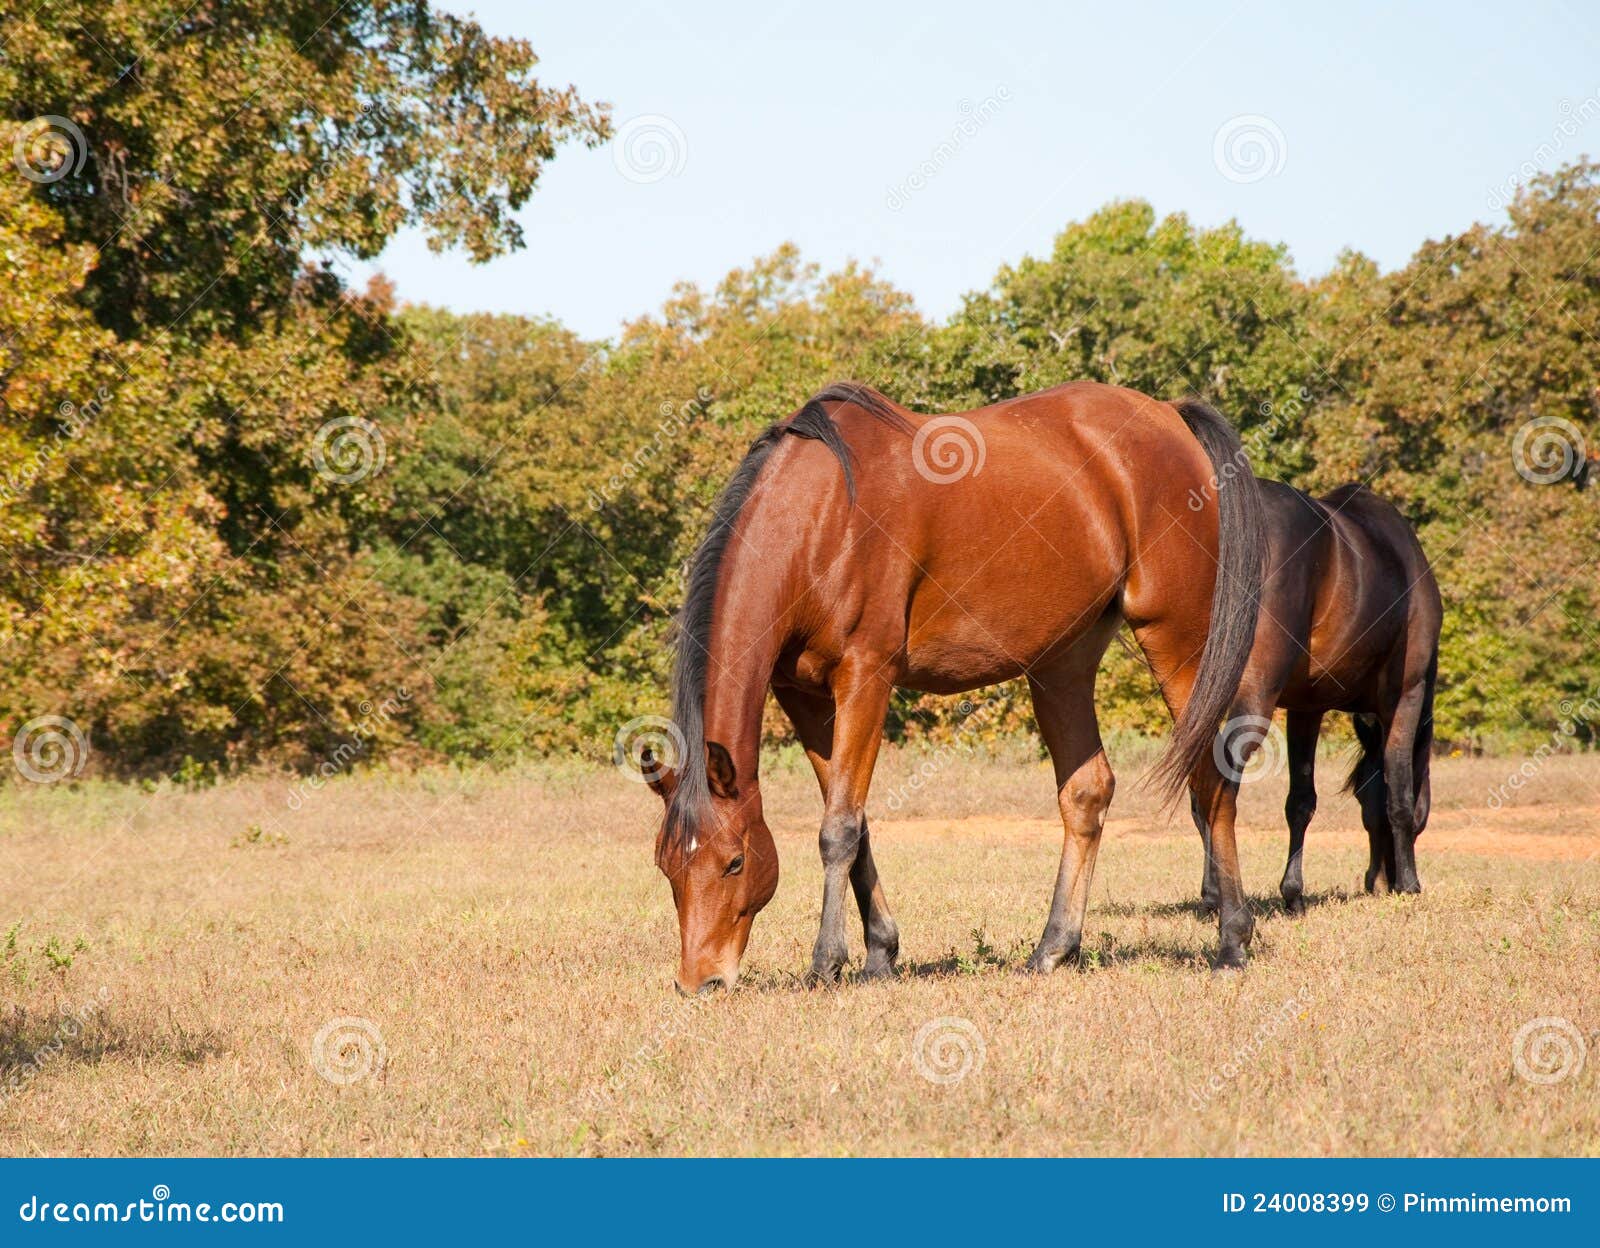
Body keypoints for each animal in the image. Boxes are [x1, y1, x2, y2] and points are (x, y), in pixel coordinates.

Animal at [641, 379, 1266, 995]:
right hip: (1063, 662)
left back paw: (1232, 941)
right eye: (667, 866)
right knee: (1087, 792)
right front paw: (879, 953)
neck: (822, 518)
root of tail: (1169, 415)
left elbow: (838, 828)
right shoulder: (805, 697)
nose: (700, 981)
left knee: (1211, 781)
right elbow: (854, 818)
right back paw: (1053, 949)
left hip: (1177, 642)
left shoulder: (866, 676)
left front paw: (827, 962)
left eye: (735, 862)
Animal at [1191, 481, 1441, 916]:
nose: (1380, 880)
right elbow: (1399, 791)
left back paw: (1212, 895)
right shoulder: (1406, 698)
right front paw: (1410, 884)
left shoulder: (1306, 708)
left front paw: (1293, 892)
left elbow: (1302, 801)